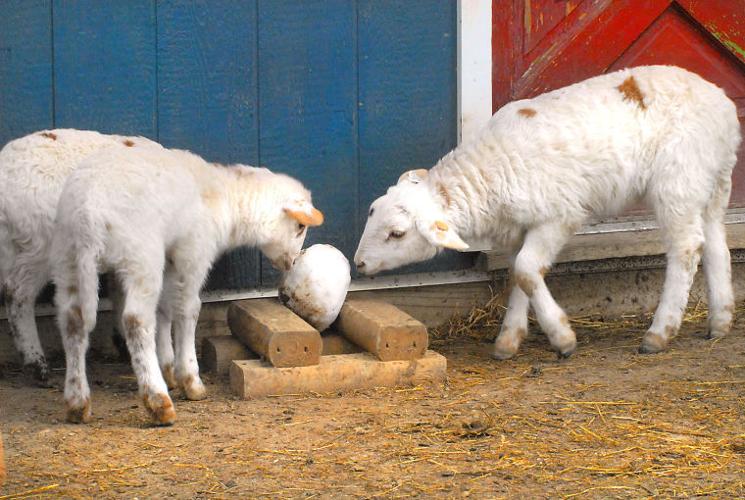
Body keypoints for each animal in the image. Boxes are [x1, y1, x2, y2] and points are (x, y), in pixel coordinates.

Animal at [51, 144, 323, 425]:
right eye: (299, 226)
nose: (292, 262)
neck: (225, 199)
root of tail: (87, 211)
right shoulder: (193, 255)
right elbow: (188, 310)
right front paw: (189, 379)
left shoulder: (171, 259)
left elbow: (164, 310)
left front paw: (168, 368)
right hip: (140, 256)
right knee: (136, 320)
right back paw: (158, 401)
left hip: (66, 258)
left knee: (73, 320)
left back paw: (77, 402)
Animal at [354, 65, 741, 359]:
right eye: (370, 213)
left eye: (397, 234)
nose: (358, 264)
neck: (489, 170)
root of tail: (723, 104)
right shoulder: (519, 228)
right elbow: (518, 273)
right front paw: (508, 340)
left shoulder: (559, 215)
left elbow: (527, 270)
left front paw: (562, 338)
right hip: (713, 180)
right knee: (716, 244)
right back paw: (720, 321)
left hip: (678, 179)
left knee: (686, 249)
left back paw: (660, 332)